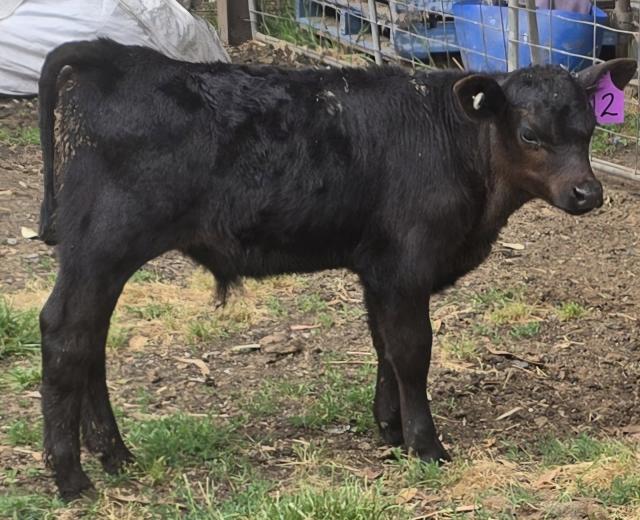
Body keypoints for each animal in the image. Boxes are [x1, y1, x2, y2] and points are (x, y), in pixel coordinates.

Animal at [36, 38, 635, 500]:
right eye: (530, 134)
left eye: (589, 130)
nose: (588, 192)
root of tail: (114, 54)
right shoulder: (405, 266)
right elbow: (412, 352)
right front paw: (426, 445)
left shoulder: (378, 268)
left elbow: (384, 347)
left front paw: (389, 427)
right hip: (103, 246)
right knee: (66, 333)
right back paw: (71, 476)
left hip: (102, 259)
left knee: (91, 340)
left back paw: (114, 454)